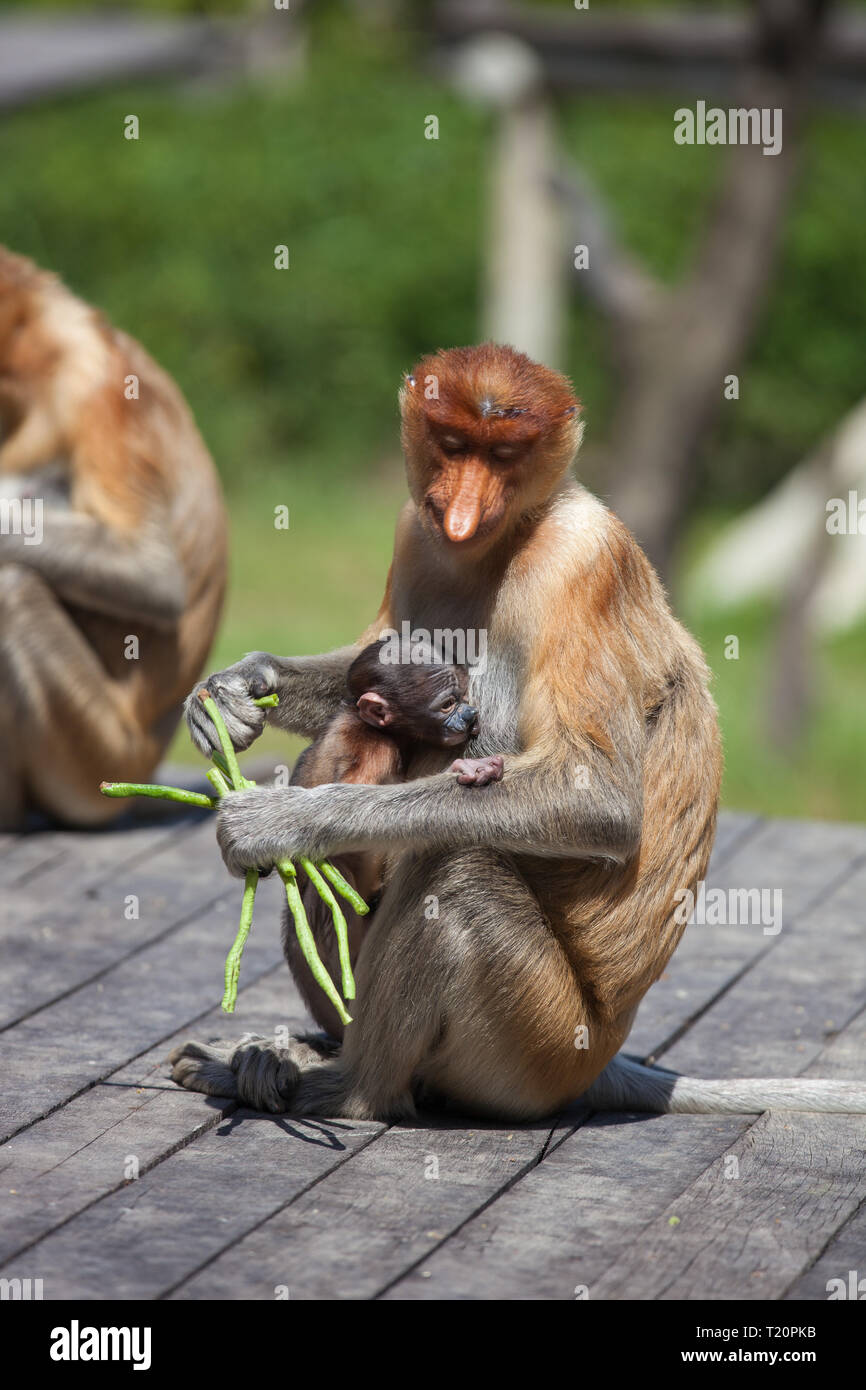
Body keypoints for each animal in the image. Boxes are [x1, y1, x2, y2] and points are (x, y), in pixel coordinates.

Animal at [285, 636, 503, 1035]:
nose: (470, 714)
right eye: (447, 704)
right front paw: (466, 769)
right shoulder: (374, 749)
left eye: (462, 696)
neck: (369, 724)